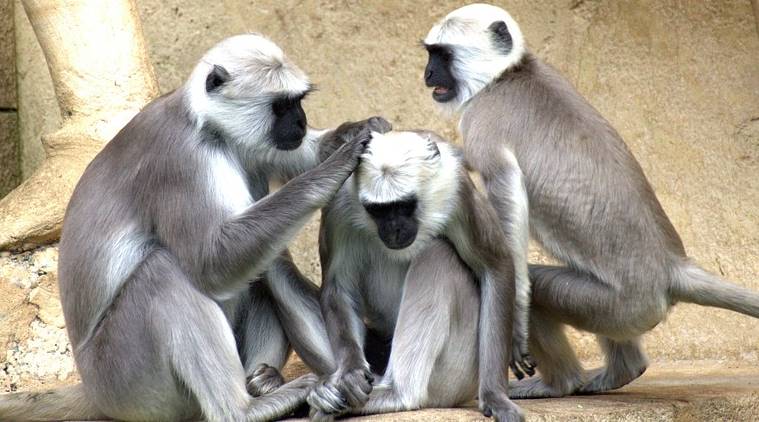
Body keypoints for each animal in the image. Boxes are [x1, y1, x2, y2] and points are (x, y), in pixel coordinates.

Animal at [0, 33, 390, 422]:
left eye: (297, 103)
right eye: (281, 107)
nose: (301, 122)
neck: (204, 124)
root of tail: (93, 390)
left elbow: (298, 156)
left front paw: (359, 130)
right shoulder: (180, 160)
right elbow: (212, 262)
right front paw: (339, 163)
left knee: (265, 261)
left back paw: (276, 381)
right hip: (124, 379)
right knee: (165, 273)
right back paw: (247, 408)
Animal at [307, 130, 530, 422]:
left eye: (404, 206)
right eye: (378, 211)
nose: (394, 230)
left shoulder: (456, 188)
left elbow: (495, 266)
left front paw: (495, 396)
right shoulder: (339, 203)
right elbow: (338, 287)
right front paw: (349, 373)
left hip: (458, 372)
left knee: (438, 252)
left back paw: (397, 394)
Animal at [422, 3, 759, 399]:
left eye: (442, 55)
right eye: (430, 54)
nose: (428, 74)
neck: (507, 75)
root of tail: (671, 268)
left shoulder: (482, 120)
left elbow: (506, 195)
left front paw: (515, 320)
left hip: (620, 306)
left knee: (539, 288)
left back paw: (559, 383)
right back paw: (622, 371)